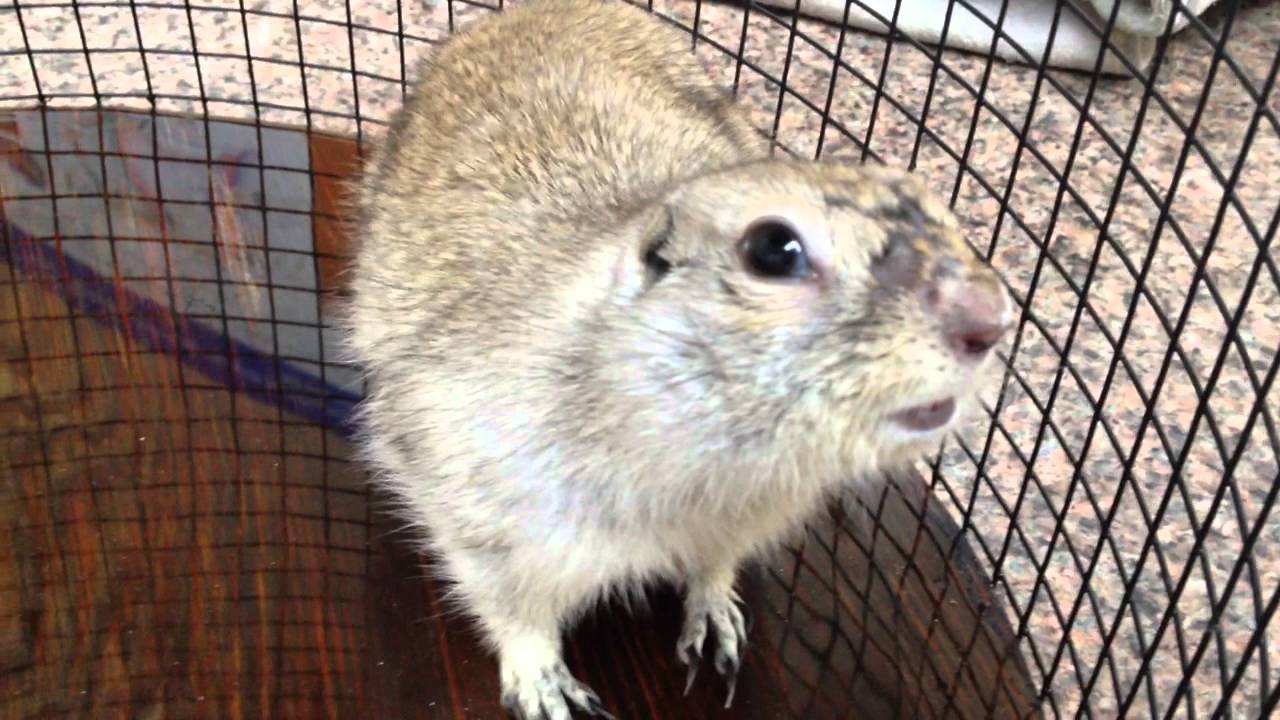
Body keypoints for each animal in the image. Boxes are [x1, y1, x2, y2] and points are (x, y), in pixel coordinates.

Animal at [340, 0, 1014, 717]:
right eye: (773, 249)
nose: (989, 320)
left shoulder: (748, 517)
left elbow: (715, 564)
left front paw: (715, 617)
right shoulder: (472, 489)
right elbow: (509, 602)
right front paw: (544, 684)